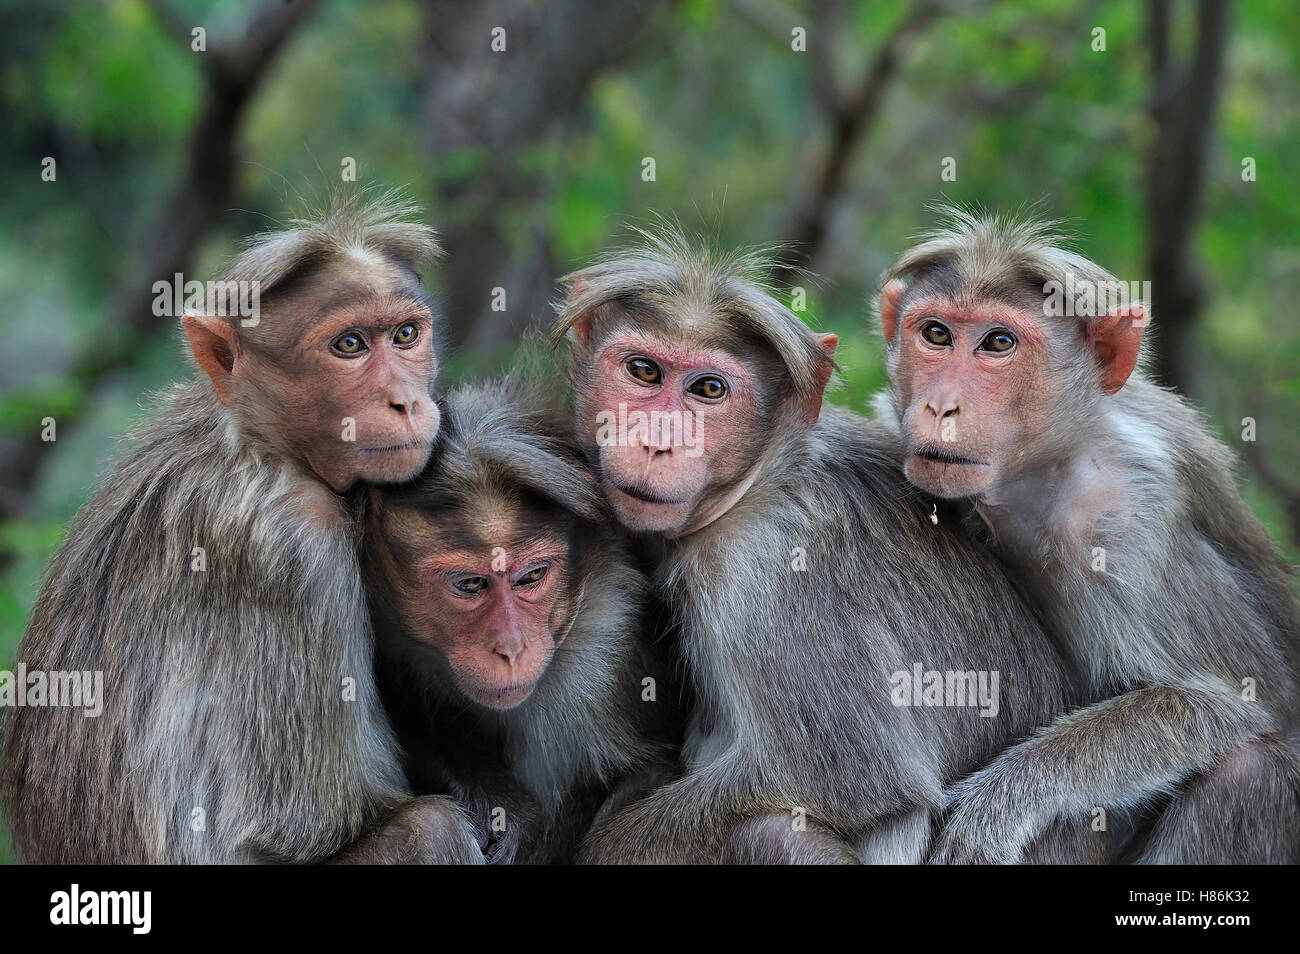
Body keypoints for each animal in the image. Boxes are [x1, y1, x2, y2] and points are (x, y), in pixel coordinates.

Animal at [1, 192, 483, 864]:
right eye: (351, 345)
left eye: (406, 335)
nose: (406, 401)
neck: (263, 445)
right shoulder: (295, 548)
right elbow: (308, 825)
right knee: (429, 829)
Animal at [365, 376, 682, 864]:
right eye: (471, 585)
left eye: (531, 577)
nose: (513, 648)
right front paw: (487, 791)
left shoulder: (605, 654)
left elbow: (649, 770)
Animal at [549, 227, 1102, 864]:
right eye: (644, 371)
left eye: (709, 389)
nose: (657, 440)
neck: (760, 479)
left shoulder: (759, 575)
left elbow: (848, 774)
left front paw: (605, 844)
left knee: (768, 828)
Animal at [875, 207, 1300, 864]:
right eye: (937, 334)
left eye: (998, 343)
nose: (941, 406)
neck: (1039, 473)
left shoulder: (1126, 523)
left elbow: (1229, 702)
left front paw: (1000, 805)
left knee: (1250, 770)